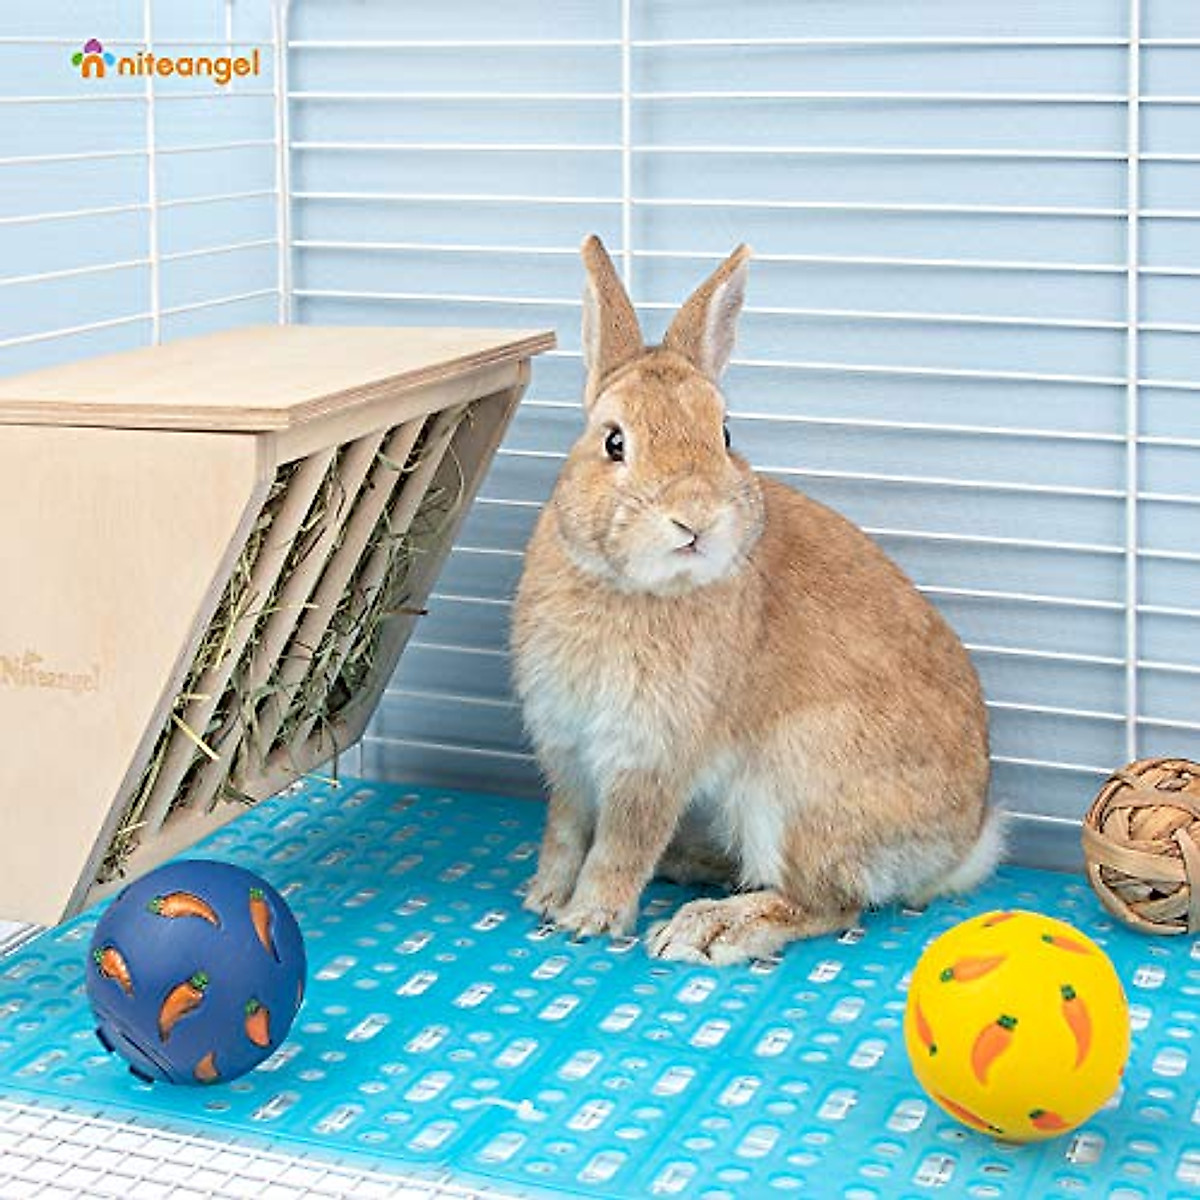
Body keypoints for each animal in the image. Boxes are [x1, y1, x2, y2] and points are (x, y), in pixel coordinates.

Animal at [510, 236, 1003, 965]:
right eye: (614, 441)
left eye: (725, 435)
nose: (695, 518)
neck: (632, 587)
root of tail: (963, 844)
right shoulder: (565, 748)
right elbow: (566, 829)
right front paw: (543, 897)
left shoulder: (652, 758)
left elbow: (622, 843)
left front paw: (589, 918)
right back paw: (692, 866)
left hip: (796, 796)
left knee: (828, 900)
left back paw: (709, 928)